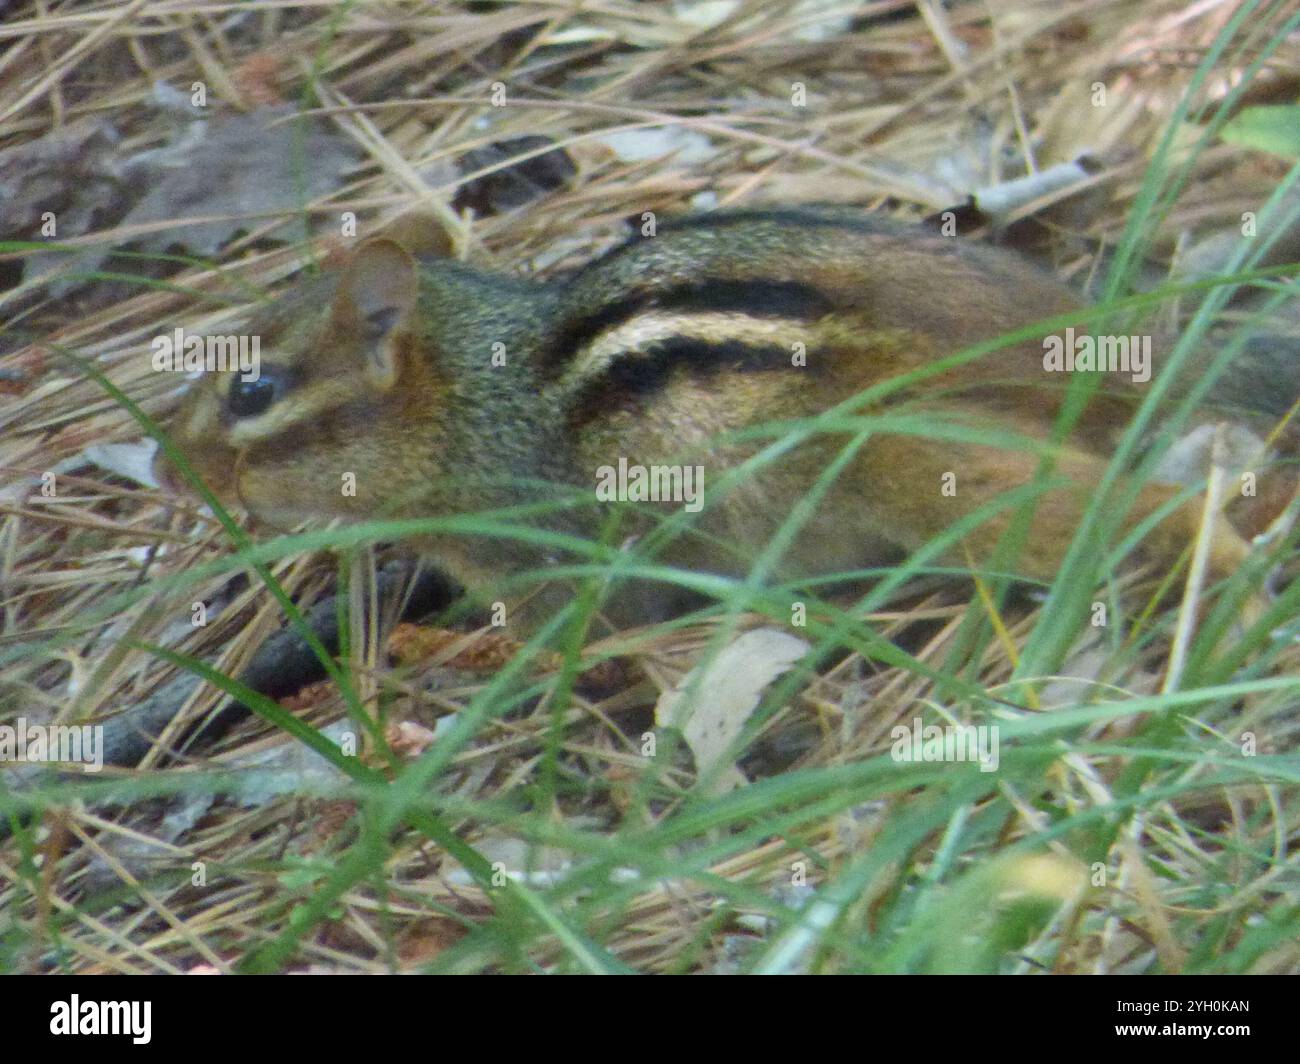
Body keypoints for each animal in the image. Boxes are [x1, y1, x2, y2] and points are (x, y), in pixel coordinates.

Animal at [155, 208, 1296, 629]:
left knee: (1128, 511)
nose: (166, 465)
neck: (475, 404)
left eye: (251, 392)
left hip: (916, 463)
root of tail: (1085, 349)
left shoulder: (547, 562)